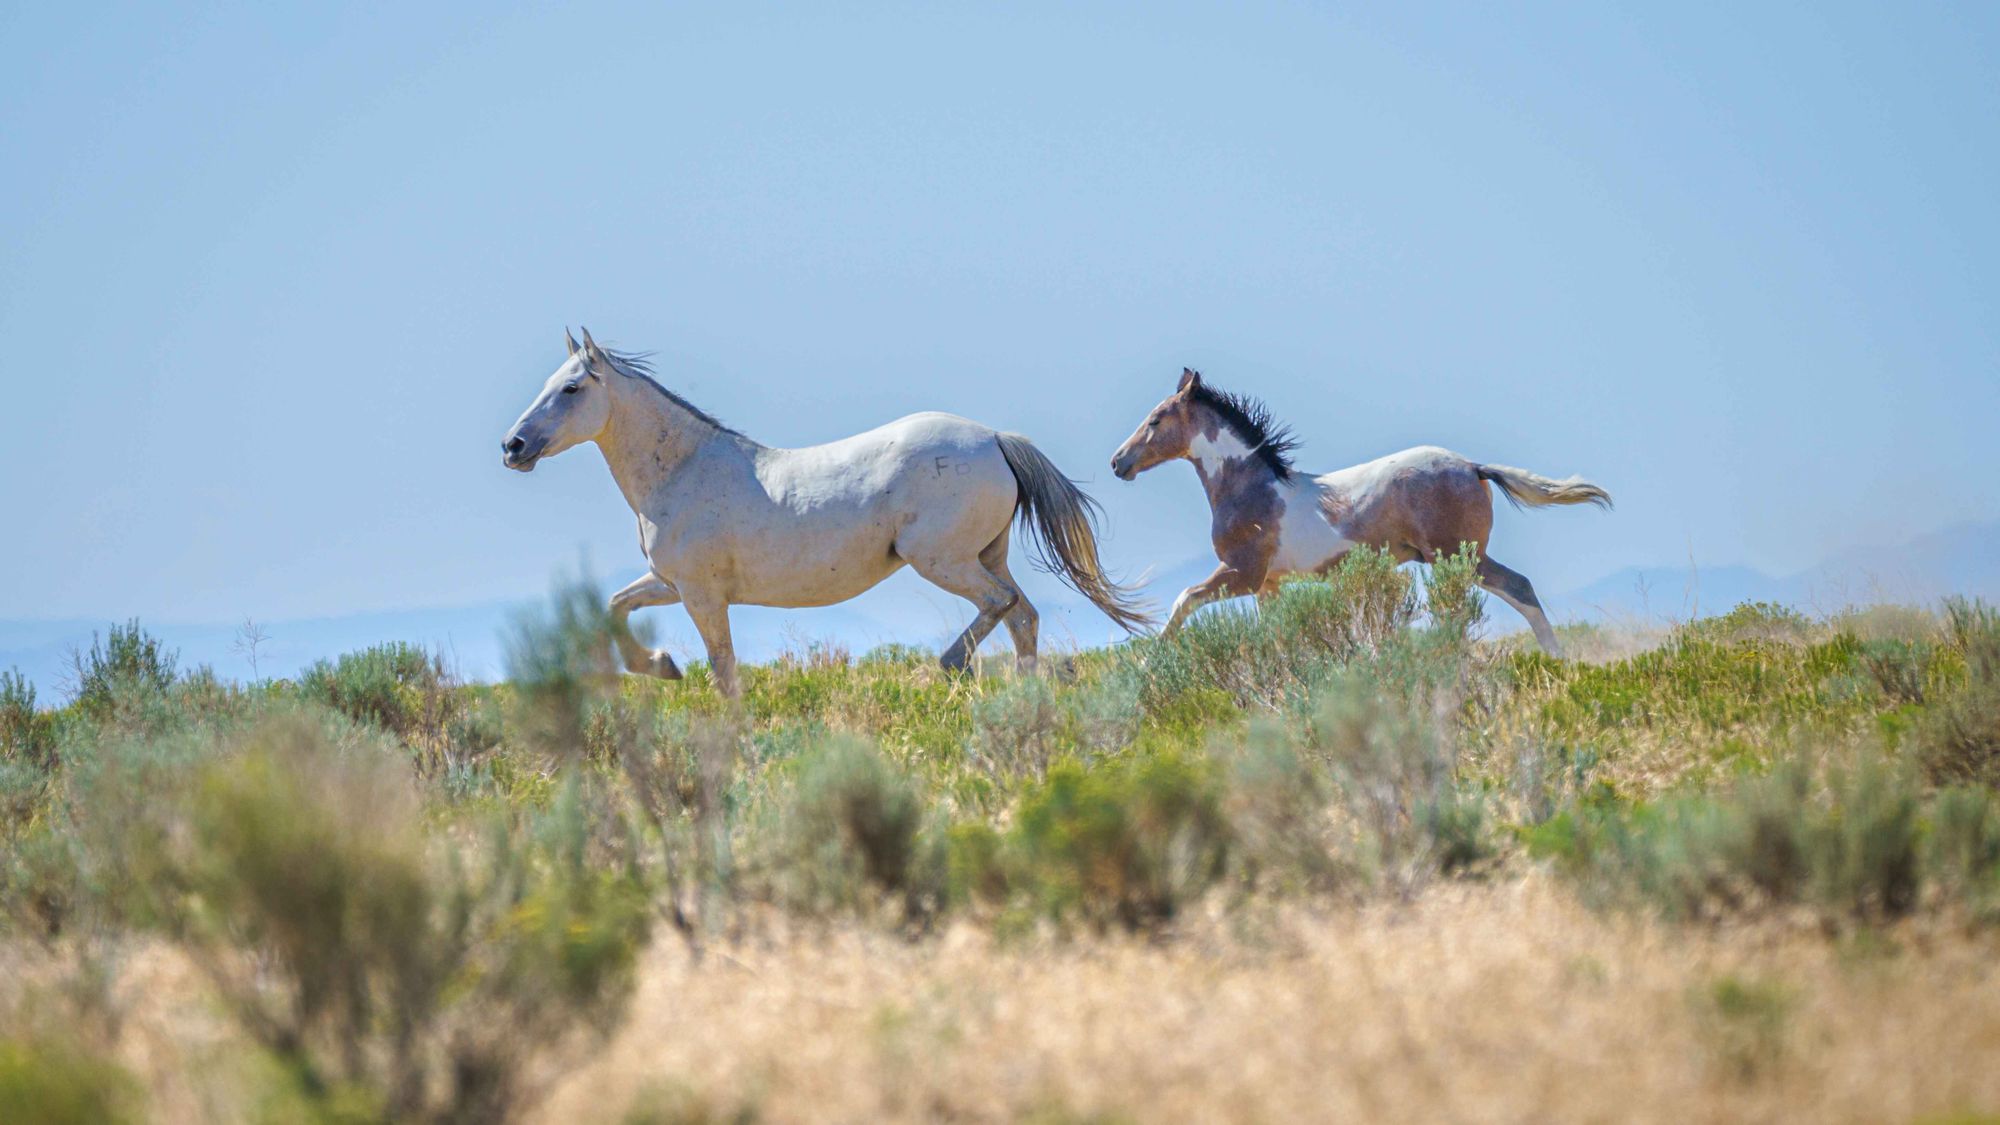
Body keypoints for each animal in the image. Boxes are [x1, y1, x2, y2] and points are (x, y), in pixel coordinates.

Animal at [502, 329, 1151, 696]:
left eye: (571, 389)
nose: (513, 446)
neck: (682, 469)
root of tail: (994, 438)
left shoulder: (702, 595)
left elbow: (724, 670)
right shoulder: (670, 583)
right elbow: (615, 607)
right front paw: (662, 667)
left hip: (939, 558)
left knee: (1001, 604)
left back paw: (948, 667)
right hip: (985, 554)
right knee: (1023, 616)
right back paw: (1021, 695)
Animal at [1108, 368, 1610, 655]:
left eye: (1155, 420)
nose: (1118, 462)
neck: (1251, 488)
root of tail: (1472, 466)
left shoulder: (1240, 573)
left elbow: (1183, 598)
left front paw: (1153, 660)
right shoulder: (1268, 586)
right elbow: (1276, 636)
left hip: (1456, 556)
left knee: (1514, 590)